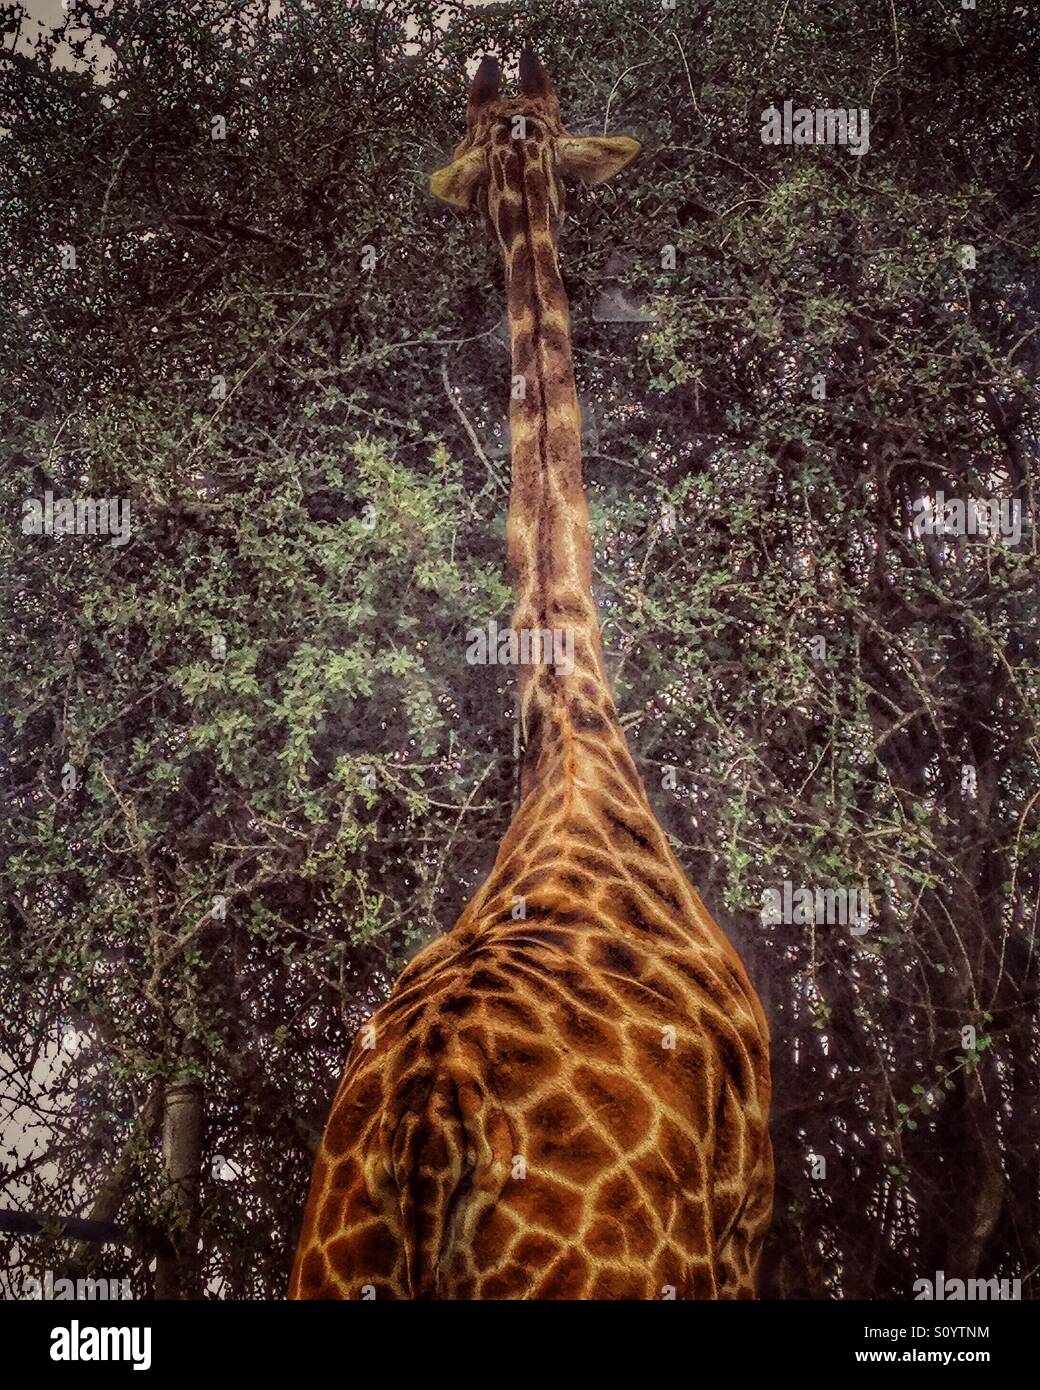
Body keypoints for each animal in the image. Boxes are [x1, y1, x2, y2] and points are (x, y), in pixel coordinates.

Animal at [290, 48, 773, 1301]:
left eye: (525, 132)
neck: (570, 721)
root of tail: (426, 1131)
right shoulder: (745, 1217)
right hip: (629, 1270)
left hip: (326, 1260)